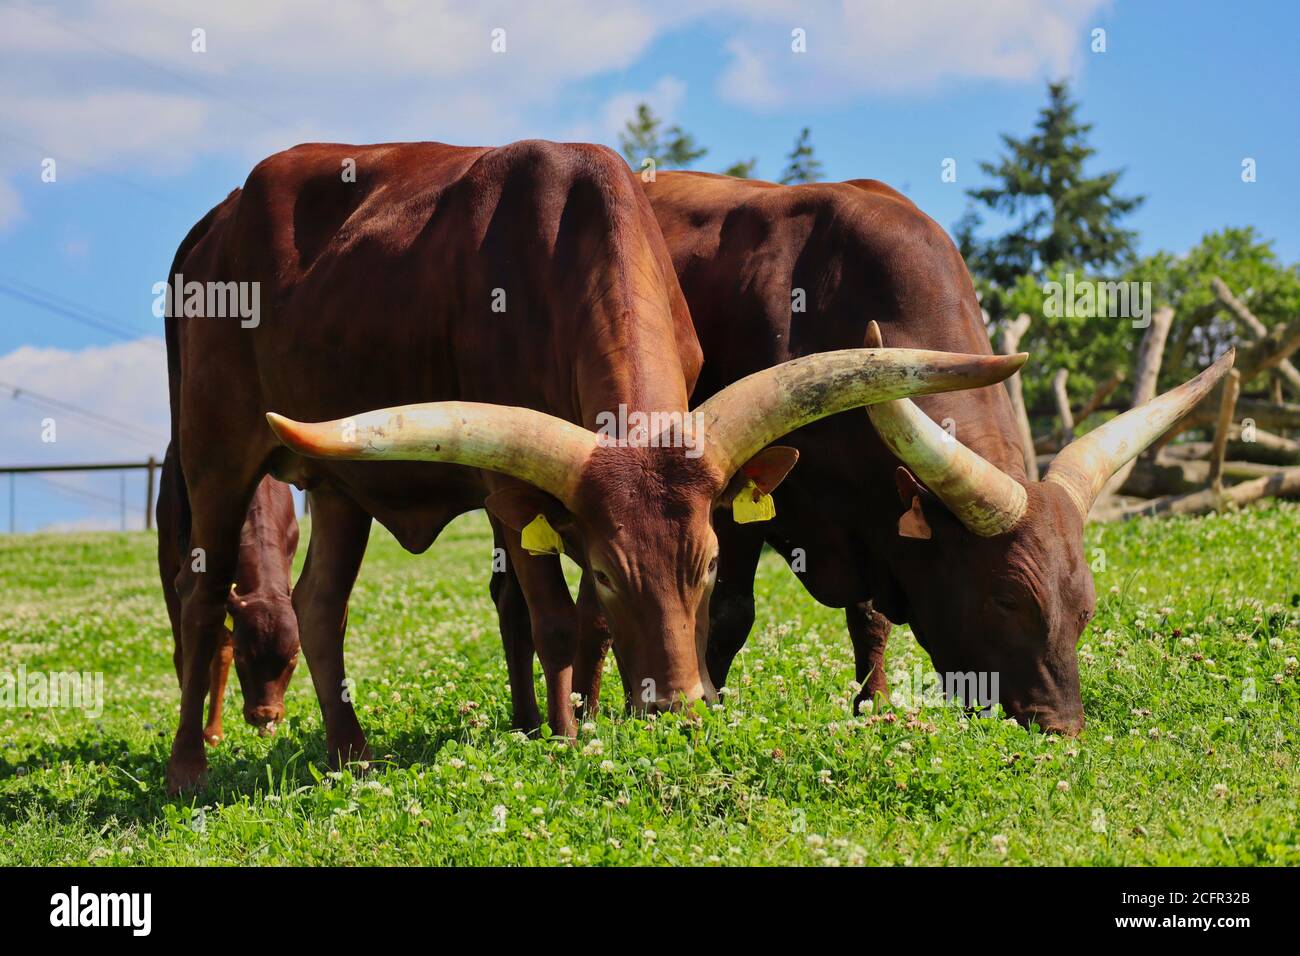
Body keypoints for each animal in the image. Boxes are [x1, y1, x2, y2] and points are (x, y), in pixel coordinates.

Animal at [598, 170, 1230, 733]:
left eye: (1087, 606)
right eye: (1006, 597)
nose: (1061, 727)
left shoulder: (875, 525)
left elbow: (871, 620)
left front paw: (873, 706)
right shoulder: (734, 504)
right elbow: (728, 612)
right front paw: (714, 701)